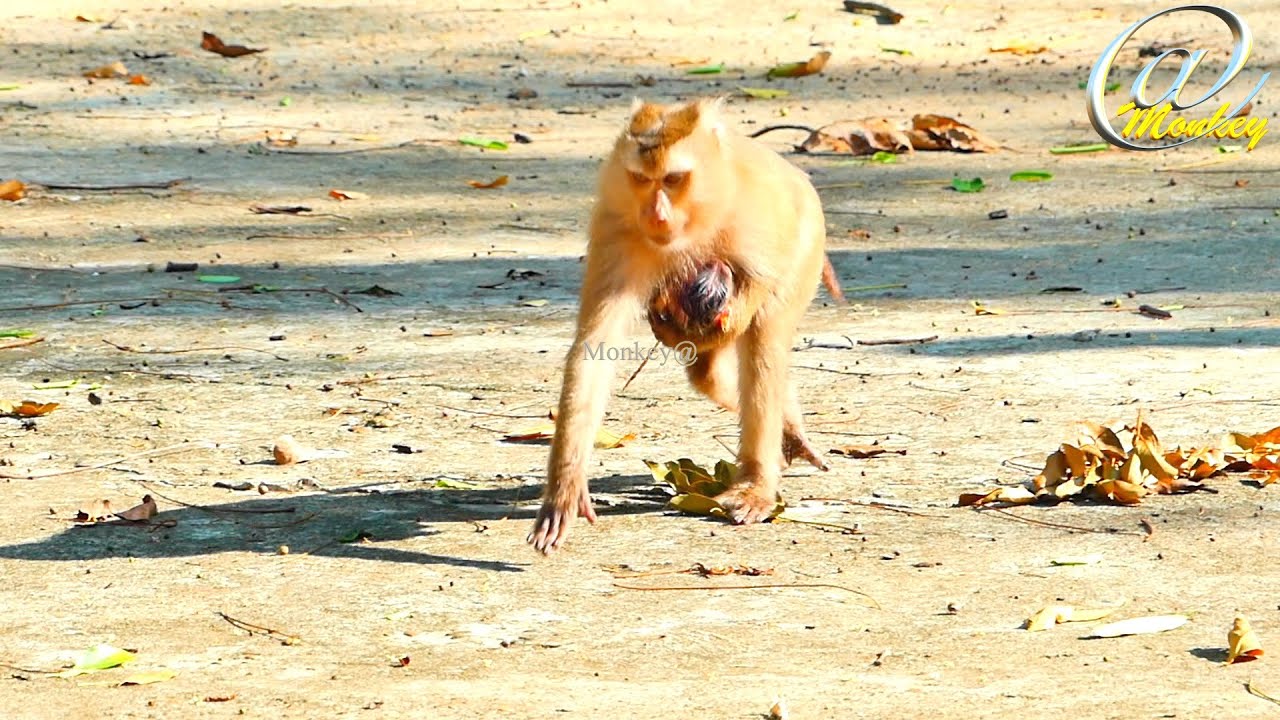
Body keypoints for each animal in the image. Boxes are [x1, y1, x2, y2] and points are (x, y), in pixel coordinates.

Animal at [528, 97, 834, 554]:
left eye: (673, 179)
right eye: (641, 178)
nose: (656, 214)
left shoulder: (755, 226)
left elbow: (757, 297)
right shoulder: (616, 230)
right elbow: (594, 348)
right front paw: (565, 487)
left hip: (810, 238)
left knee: (763, 341)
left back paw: (758, 482)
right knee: (710, 373)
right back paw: (787, 422)